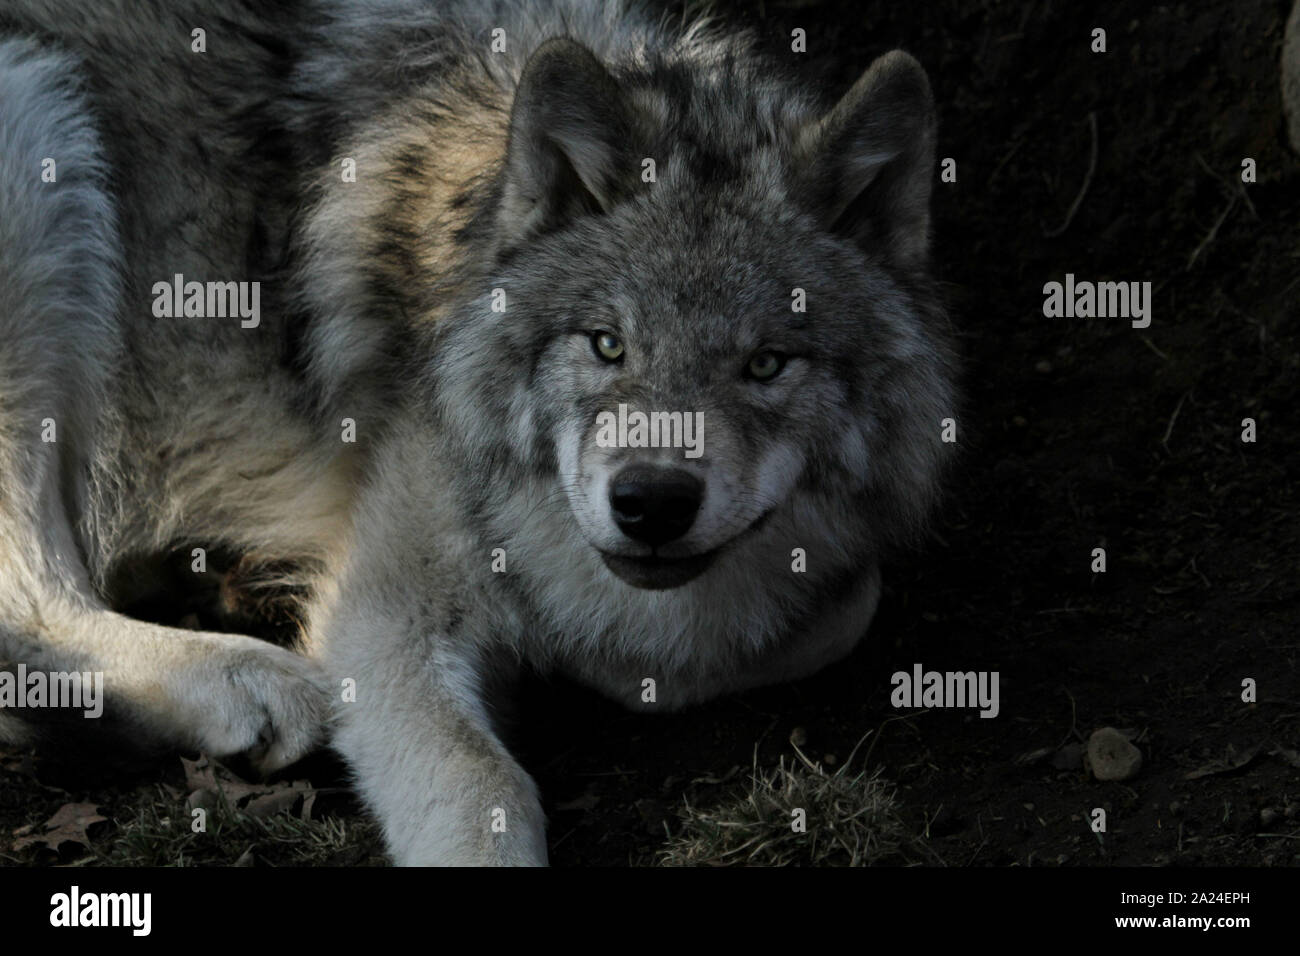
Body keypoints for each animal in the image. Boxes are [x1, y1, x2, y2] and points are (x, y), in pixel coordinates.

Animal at [0, 0, 956, 865]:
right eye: (607, 344)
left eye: (765, 364)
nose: (651, 502)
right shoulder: (385, 610)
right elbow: (478, 786)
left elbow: (842, 608)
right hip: (34, 125)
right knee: (37, 594)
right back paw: (249, 685)